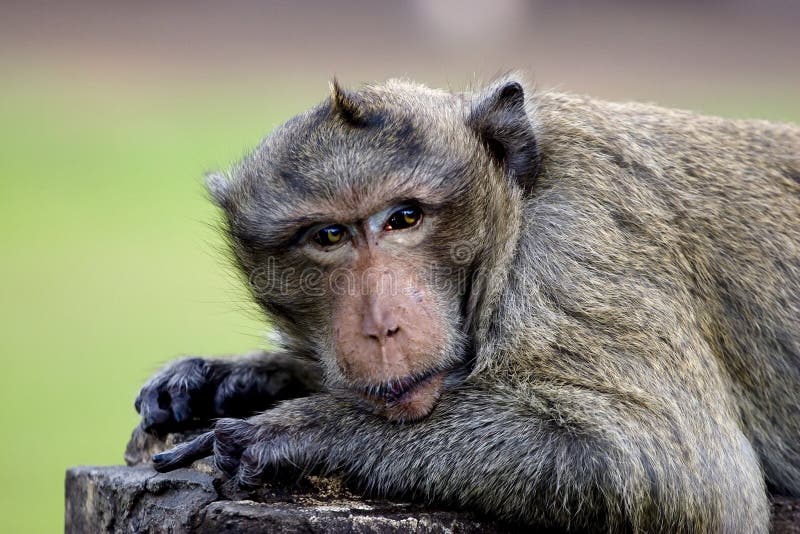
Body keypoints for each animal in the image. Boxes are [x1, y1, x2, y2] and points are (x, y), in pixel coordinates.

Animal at [134, 75, 800, 532]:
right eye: (328, 235)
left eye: (405, 218)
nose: (381, 325)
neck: (521, 205)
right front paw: (227, 377)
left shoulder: (584, 244)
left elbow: (679, 473)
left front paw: (292, 429)